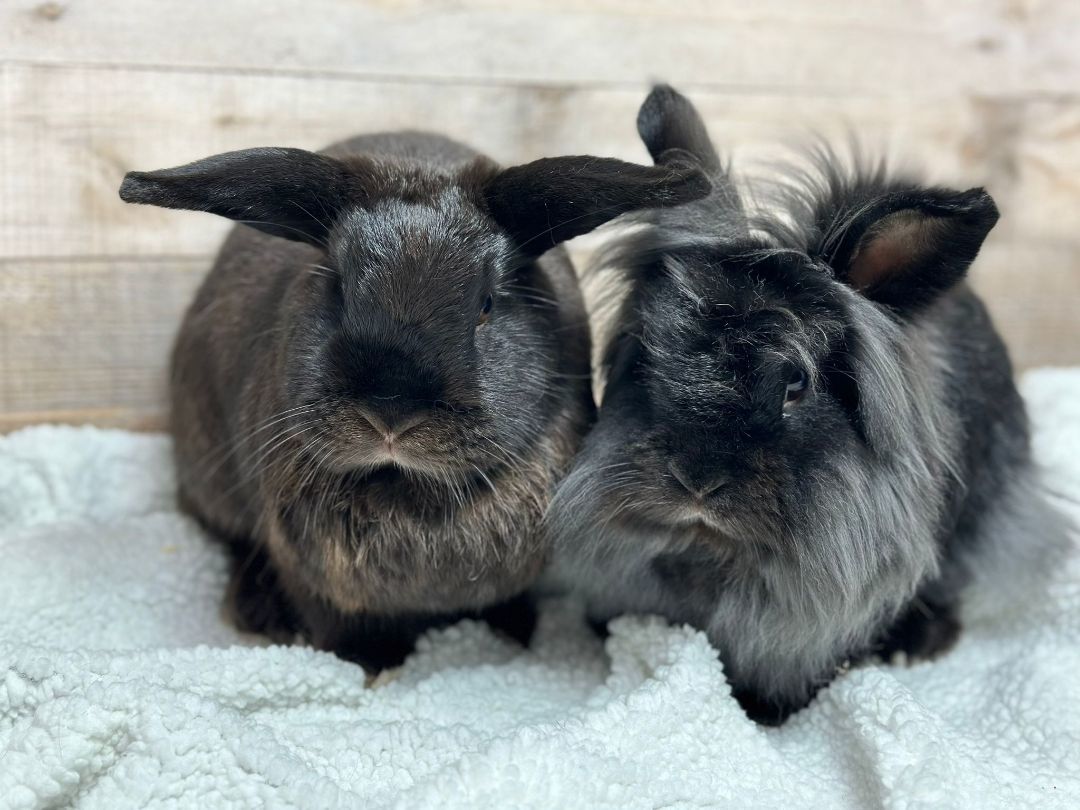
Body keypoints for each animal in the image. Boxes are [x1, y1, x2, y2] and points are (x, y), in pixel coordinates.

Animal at [119, 130, 710, 669]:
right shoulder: (310, 575)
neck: (404, 489)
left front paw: (511, 640)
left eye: (486, 304)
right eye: (336, 285)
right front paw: (372, 663)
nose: (390, 412)